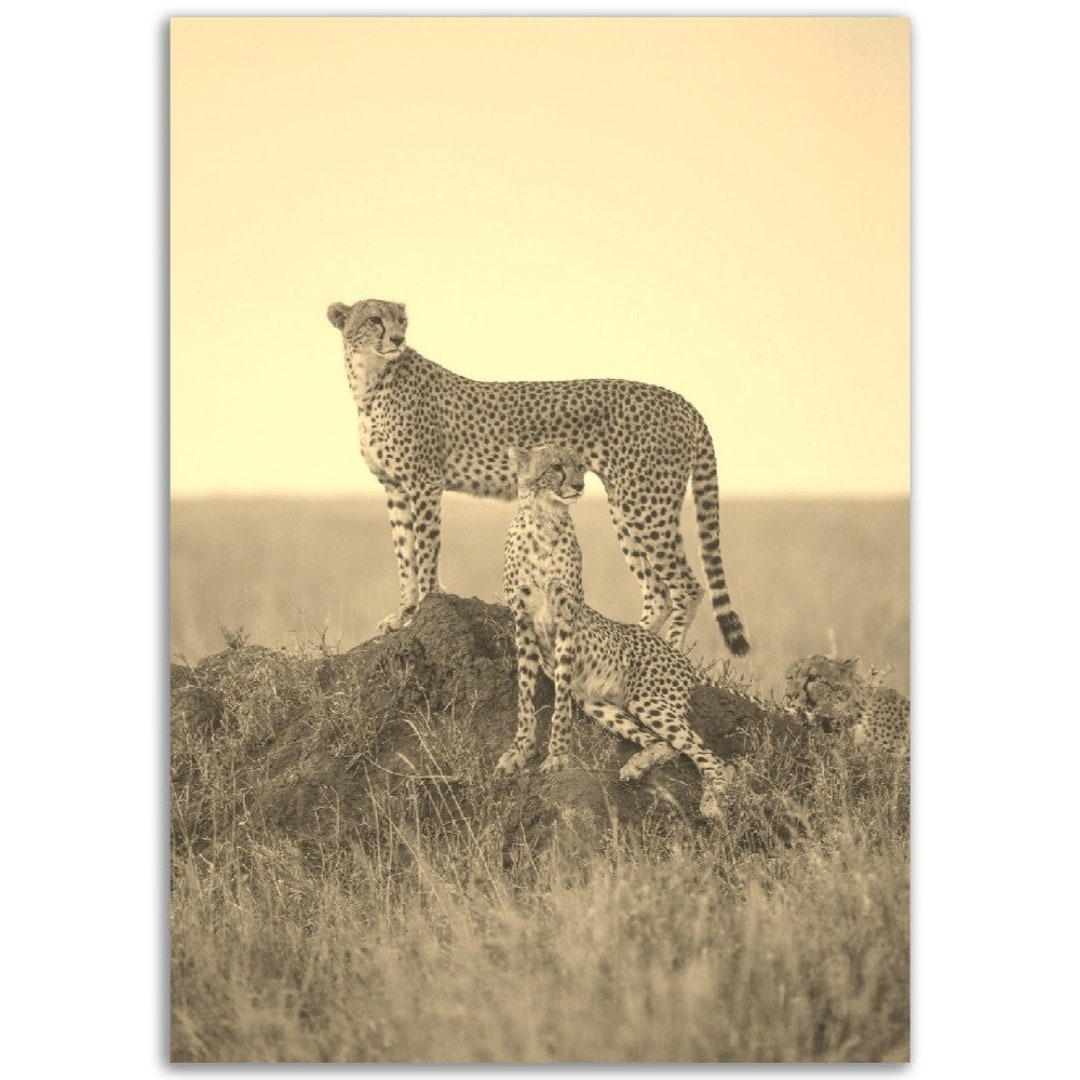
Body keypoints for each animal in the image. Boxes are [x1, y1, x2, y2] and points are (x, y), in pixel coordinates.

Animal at [326, 298, 749, 653]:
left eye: (401, 321)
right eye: (375, 319)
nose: (397, 338)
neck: (370, 380)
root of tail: (680, 399)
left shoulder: (424, 481)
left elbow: (425, 549)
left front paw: (424, 607)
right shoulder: (395, 487)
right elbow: (404, 554)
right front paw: (404, 614)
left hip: (645, 504)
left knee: (687, 586)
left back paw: (670, 651)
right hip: (627, 505)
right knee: (658, 590)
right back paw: (634, 645)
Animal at [497, 443, 733, 820]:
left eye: (580, 467)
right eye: (556, 467)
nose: (578, 485)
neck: (545, 519)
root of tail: (678, 654)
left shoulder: (566, 620)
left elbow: (560, 702)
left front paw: (558, 755)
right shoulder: (523, 624)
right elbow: (525, 695)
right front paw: (519, 749)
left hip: (649, 700)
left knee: (711, 757)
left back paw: (711, 801)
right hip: (600, 705)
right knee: (663, 742)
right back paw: (637, 766)